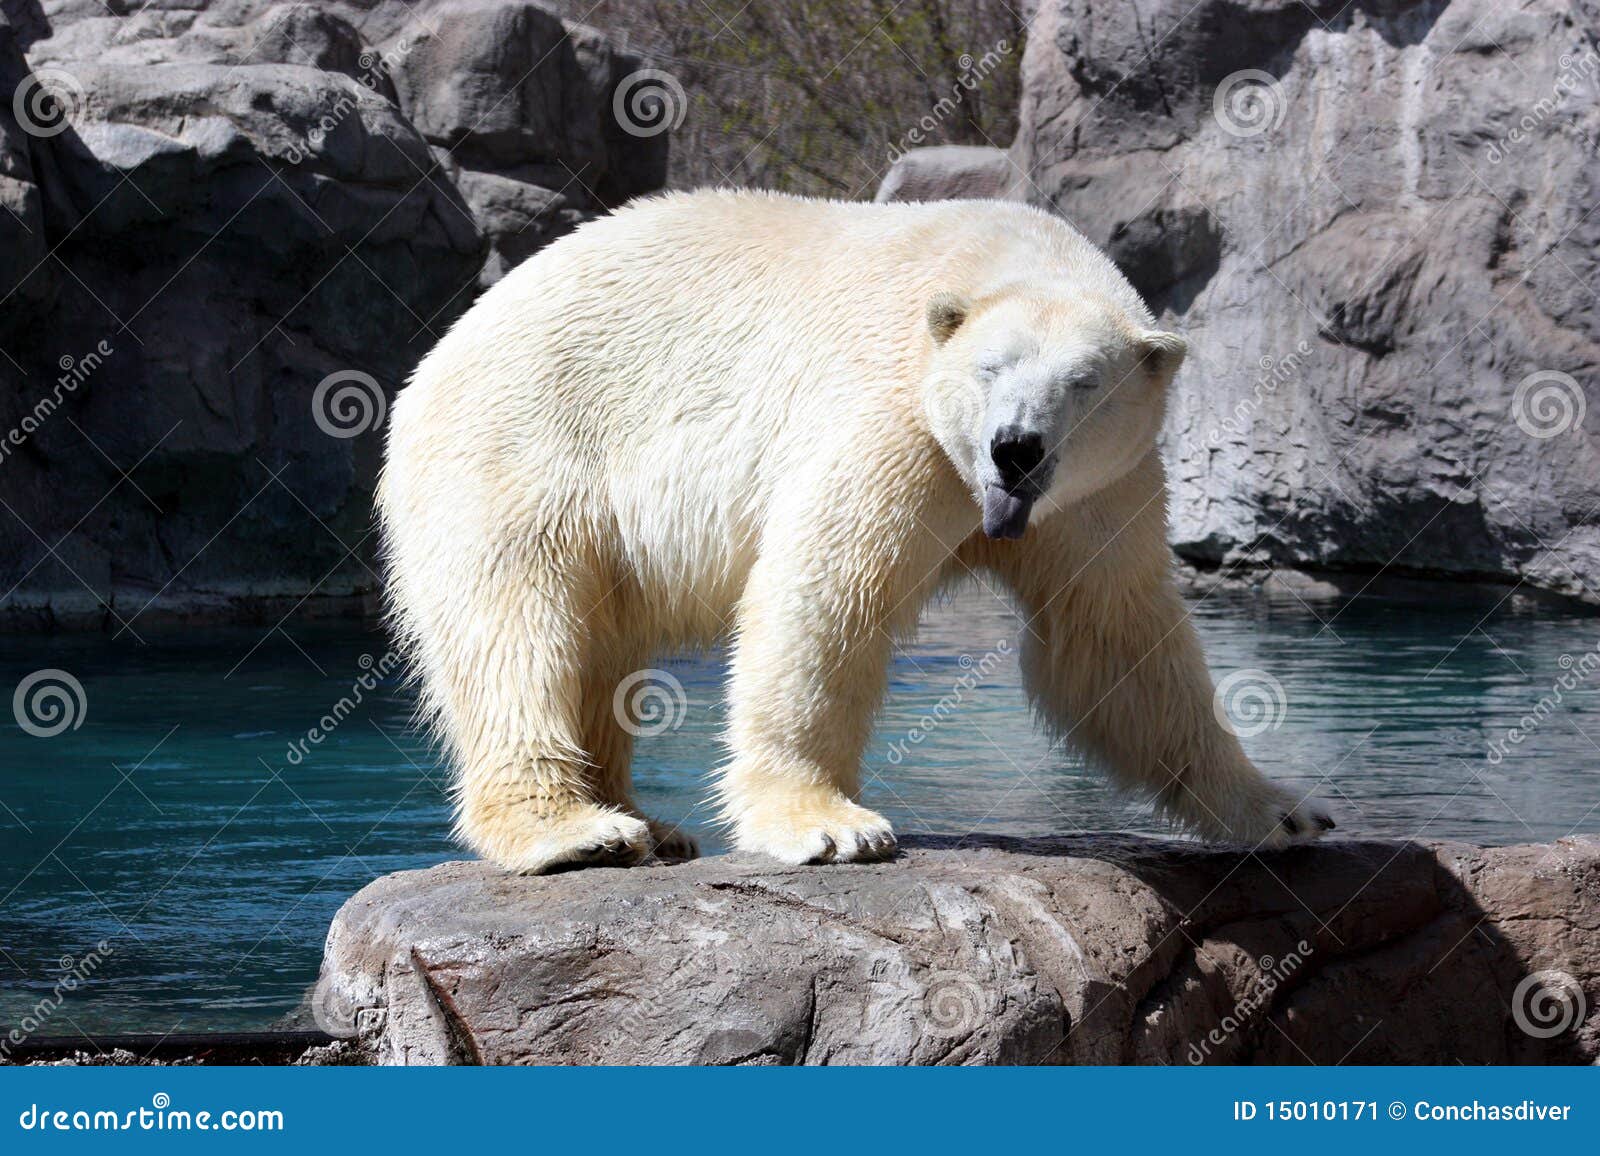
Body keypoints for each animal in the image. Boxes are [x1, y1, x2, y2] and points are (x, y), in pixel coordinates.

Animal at [377, 189, 1333, 874]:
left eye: (1084, 384)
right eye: (990, 371)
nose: (1015, 449)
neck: (993, 261)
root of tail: (434, 361)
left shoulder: (1101, 490)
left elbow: (1112, 637)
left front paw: (1283, 810)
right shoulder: (895, 415)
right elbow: (828, 589)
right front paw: (829, 826)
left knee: (596, 653)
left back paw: (648, 820)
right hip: (520, 447)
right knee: (520, 626)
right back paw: (576, 831)